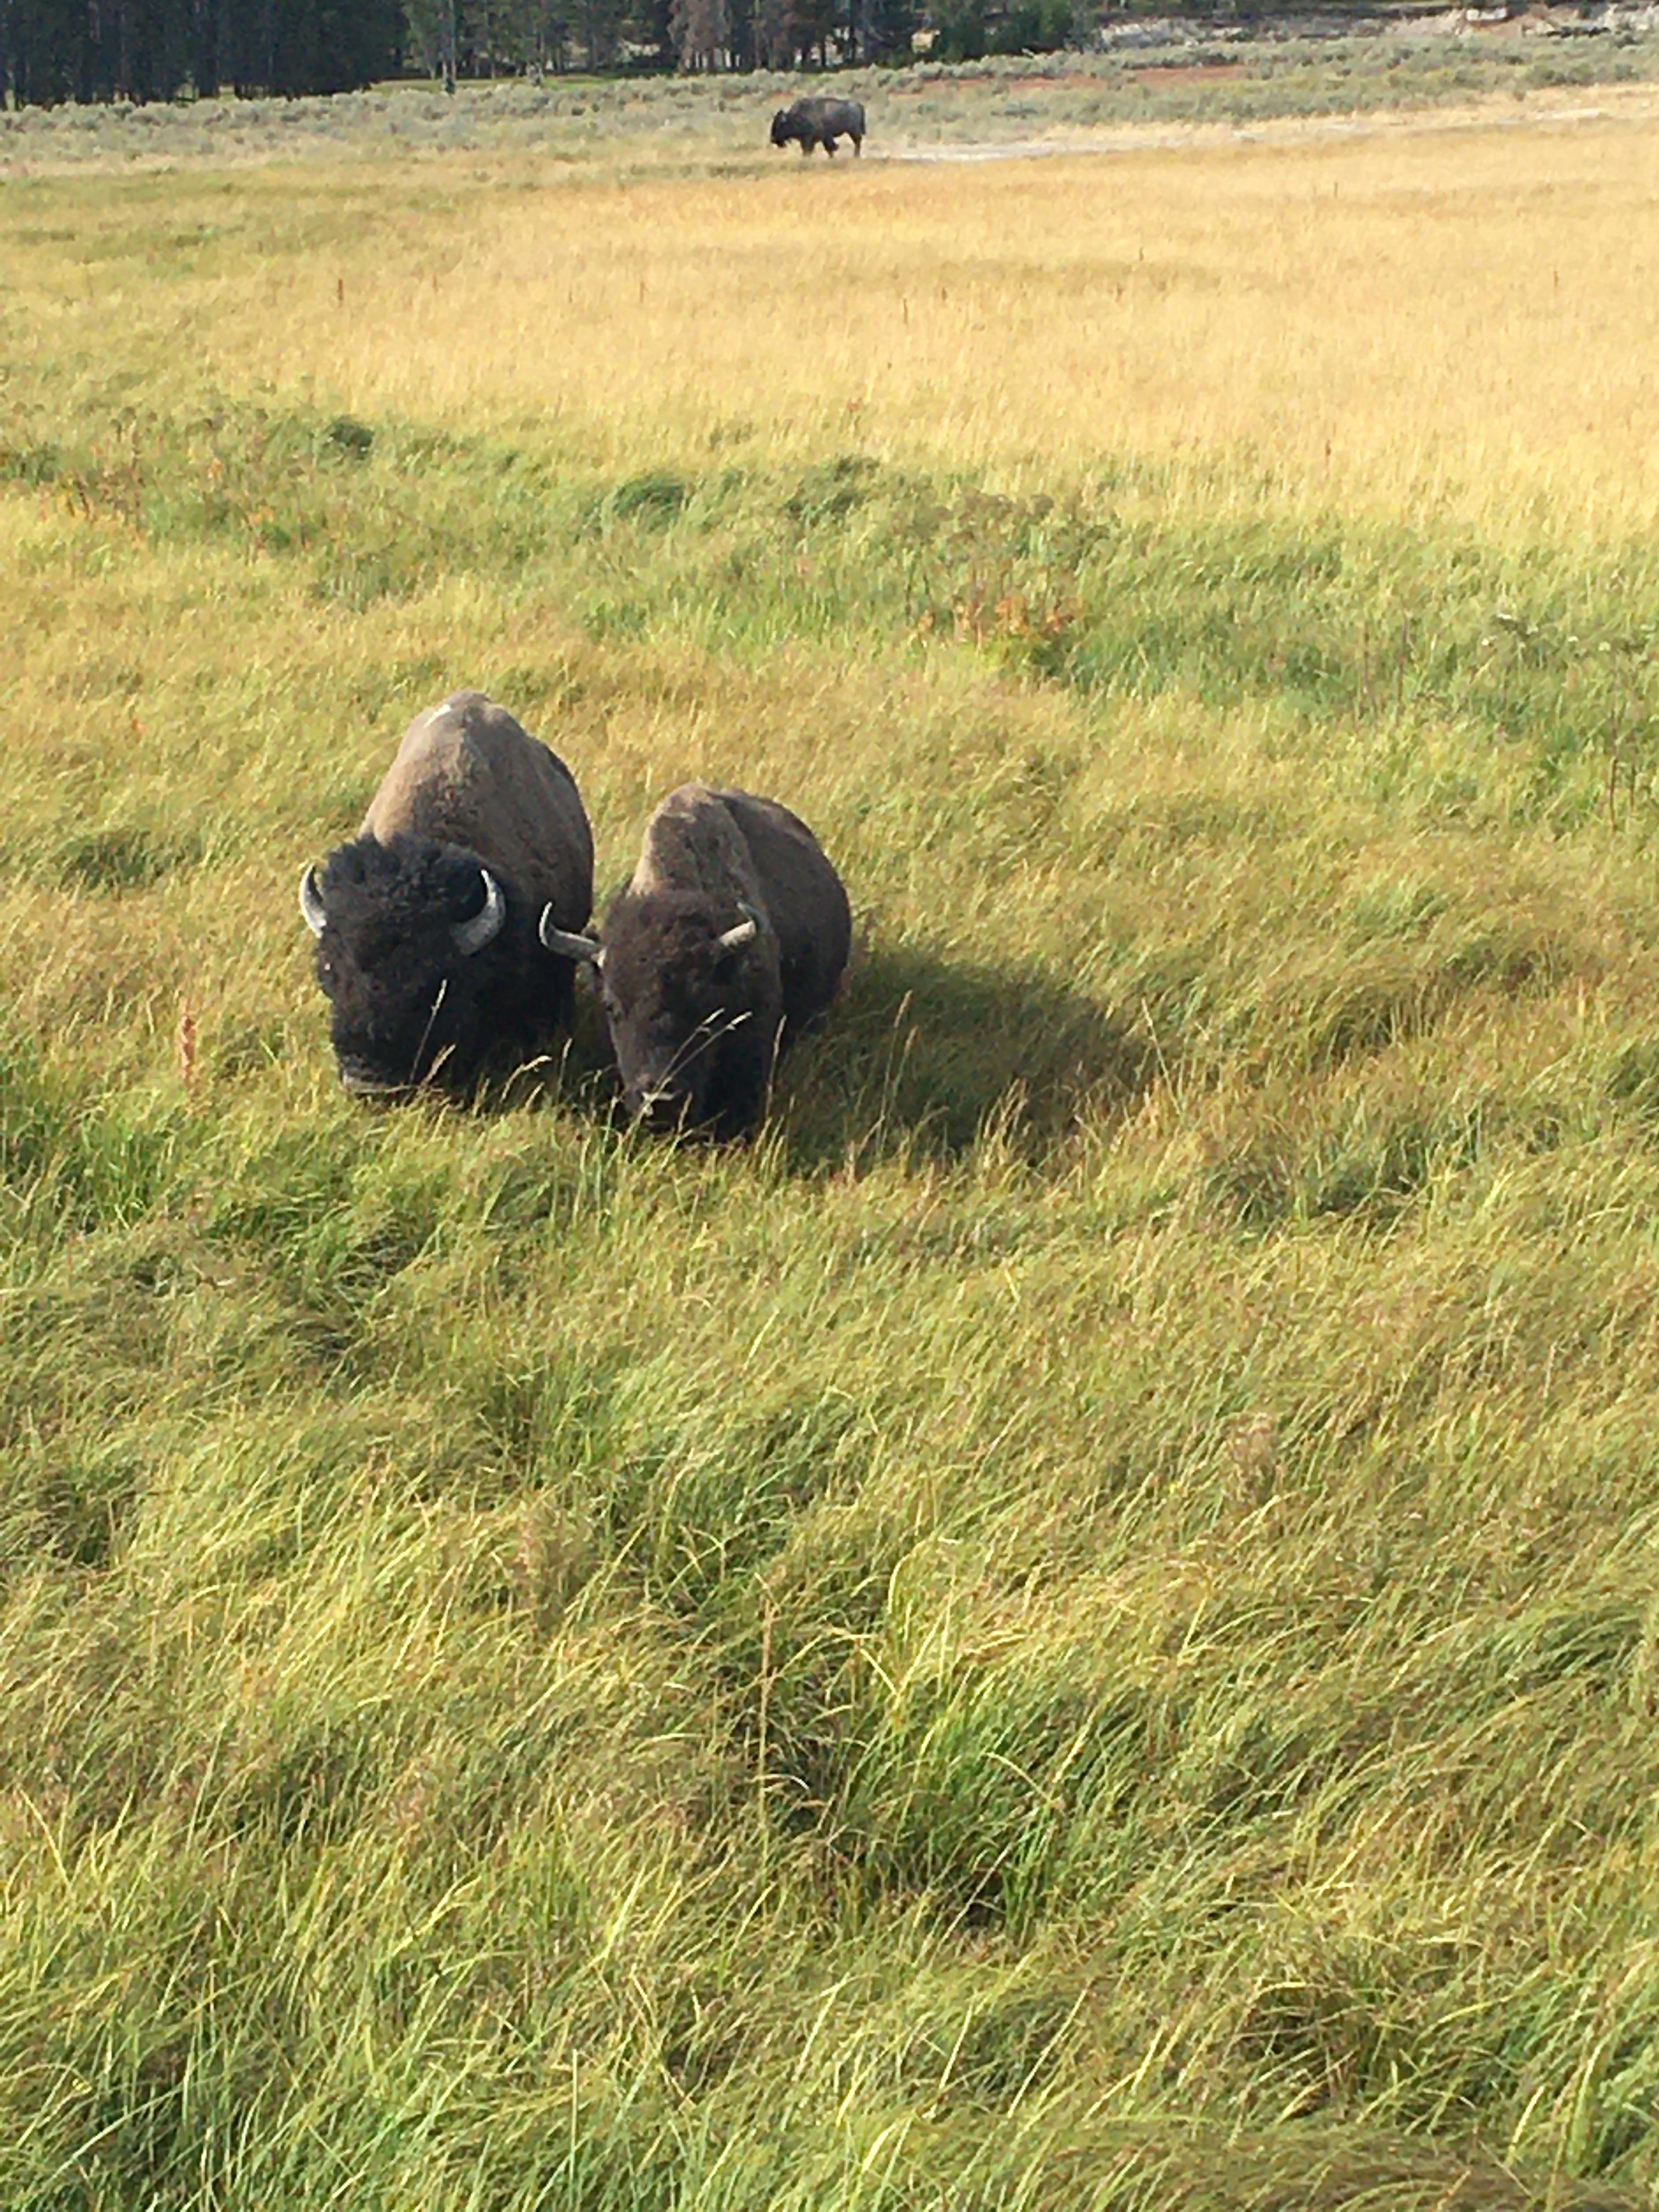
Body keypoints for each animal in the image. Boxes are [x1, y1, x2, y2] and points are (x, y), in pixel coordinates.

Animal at [770, 96, 865, 157]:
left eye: (780, 125)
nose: (773, 139)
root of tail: (859, 105)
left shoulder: (809, 138)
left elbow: (809, 150)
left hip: (853, 131)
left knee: (858, 142)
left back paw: (856, 156)